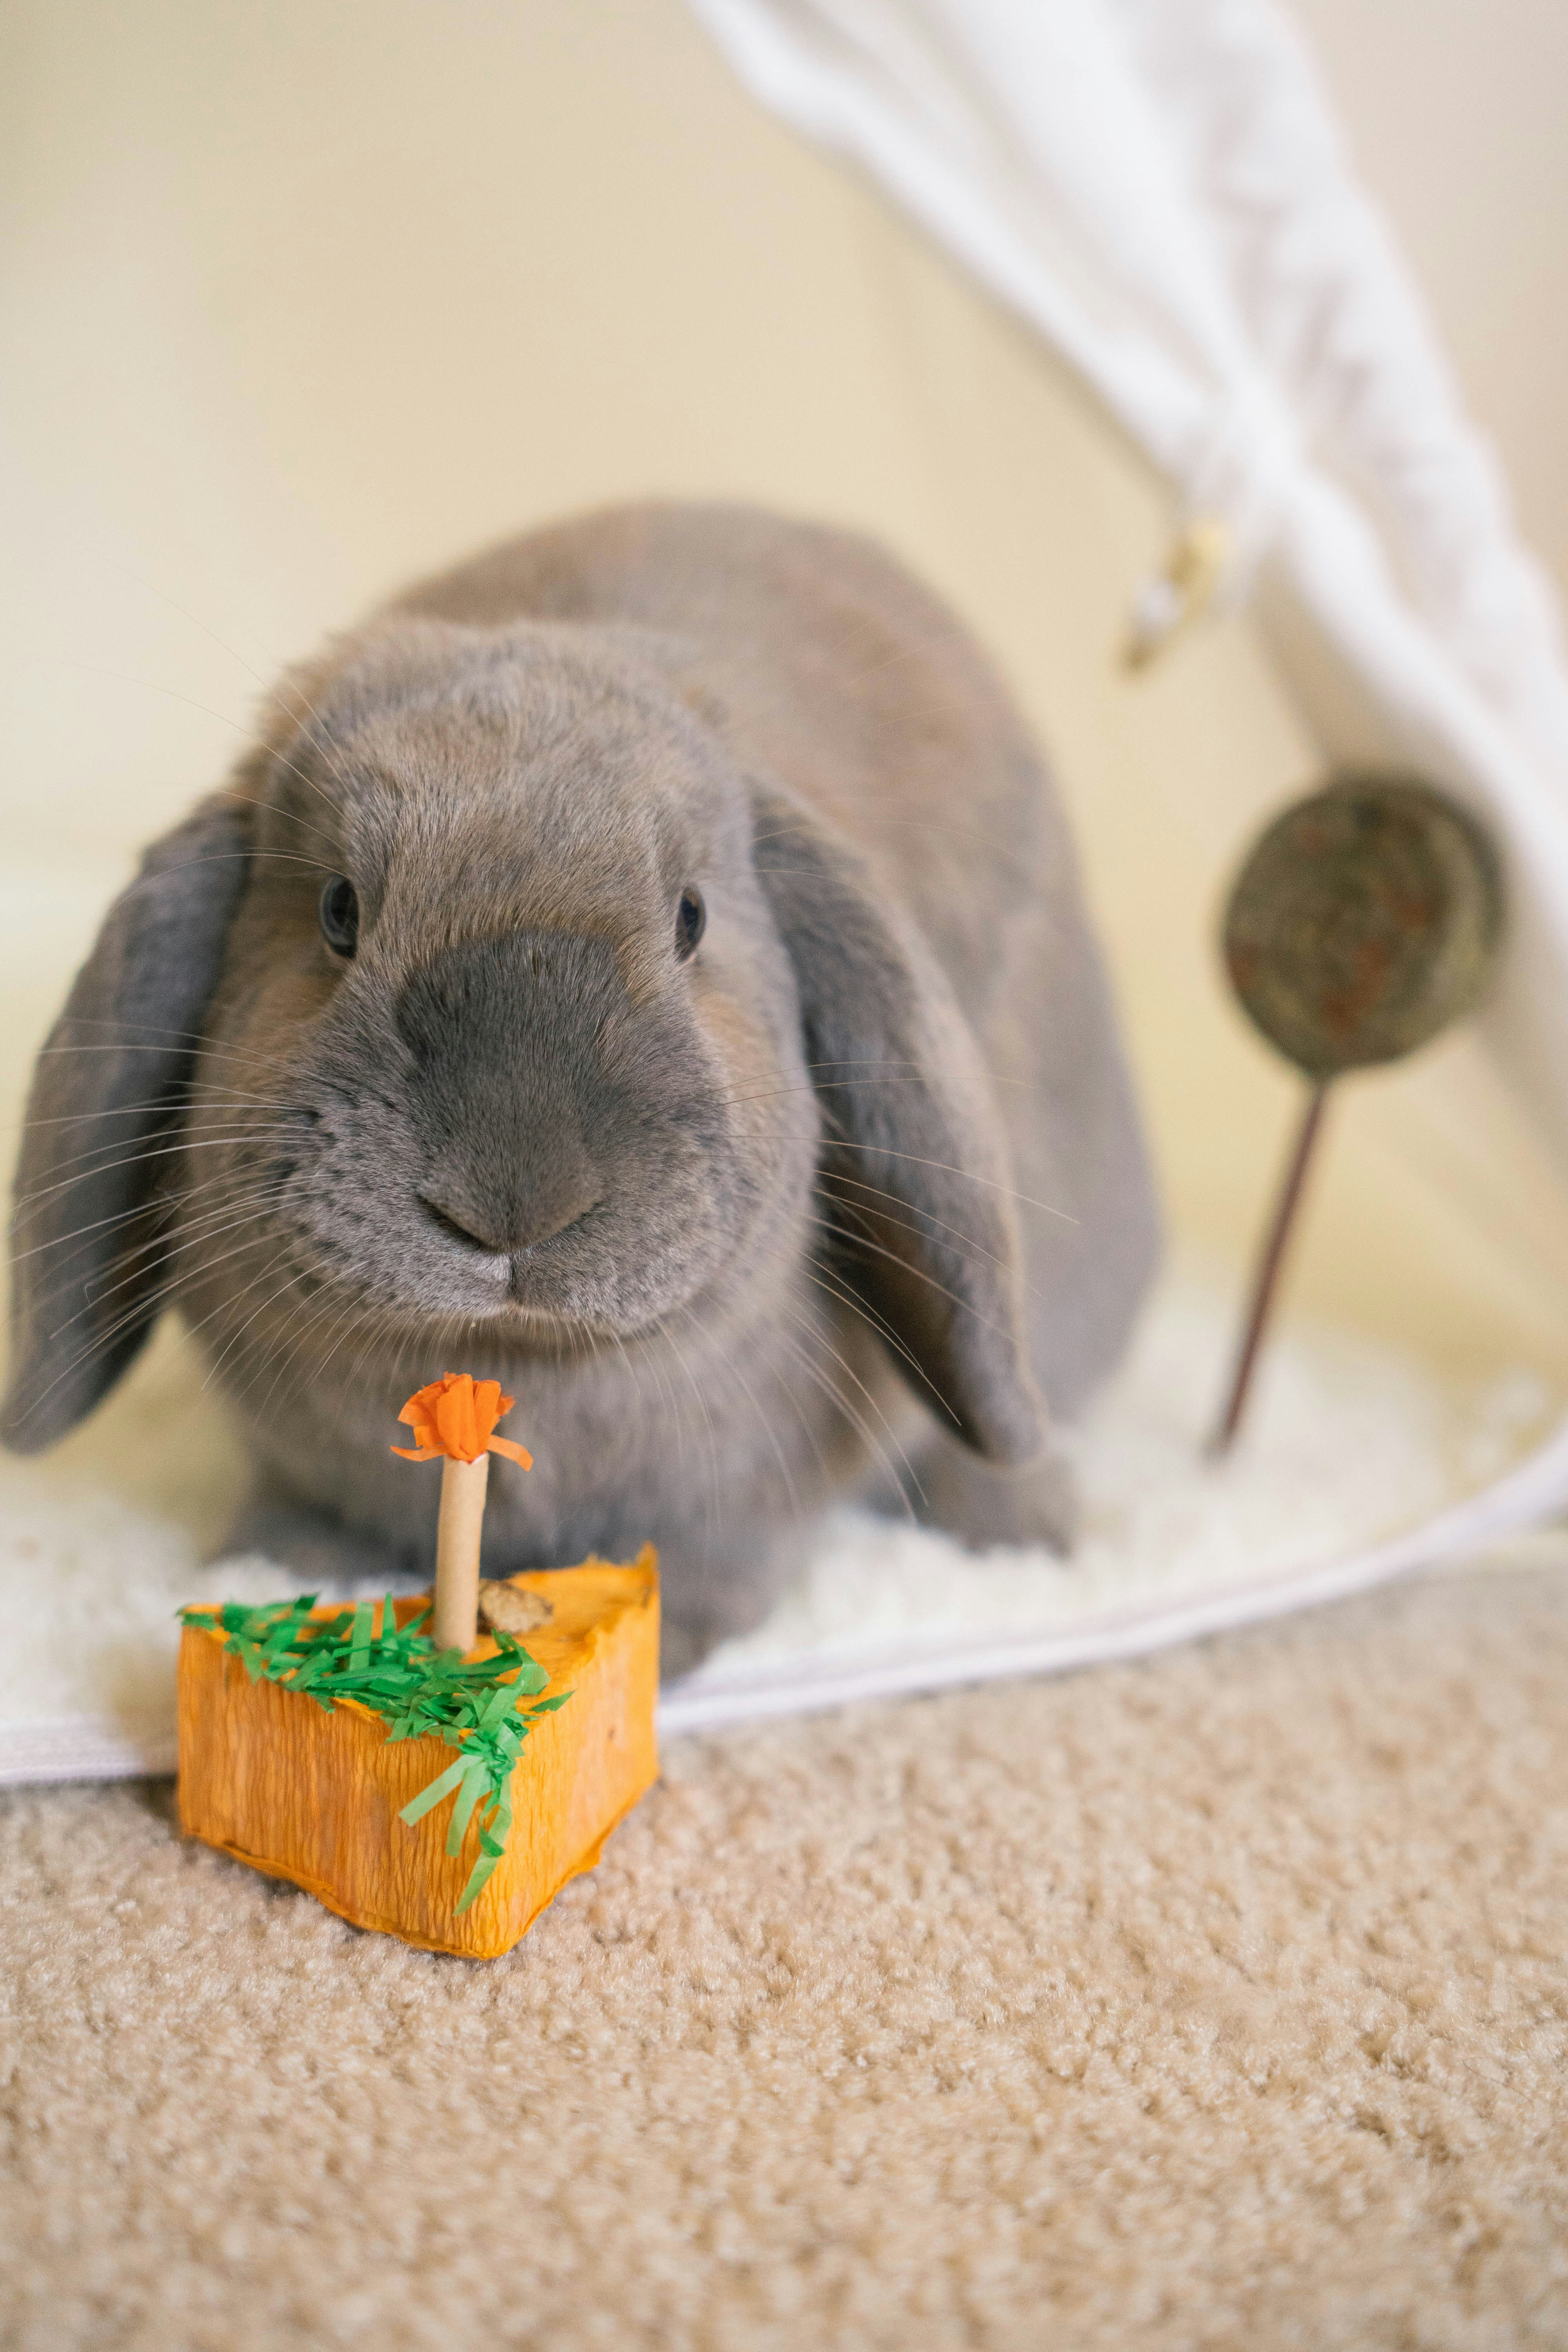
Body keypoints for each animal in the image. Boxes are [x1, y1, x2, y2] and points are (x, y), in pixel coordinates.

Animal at [2, 503, 1159, 1669]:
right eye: (337, 910)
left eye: (693, 920)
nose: (513, 1199)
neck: (521, 1362)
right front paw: (266, 1573)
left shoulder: (732, 1504)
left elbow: (705, 1558)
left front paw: (663, 1638)